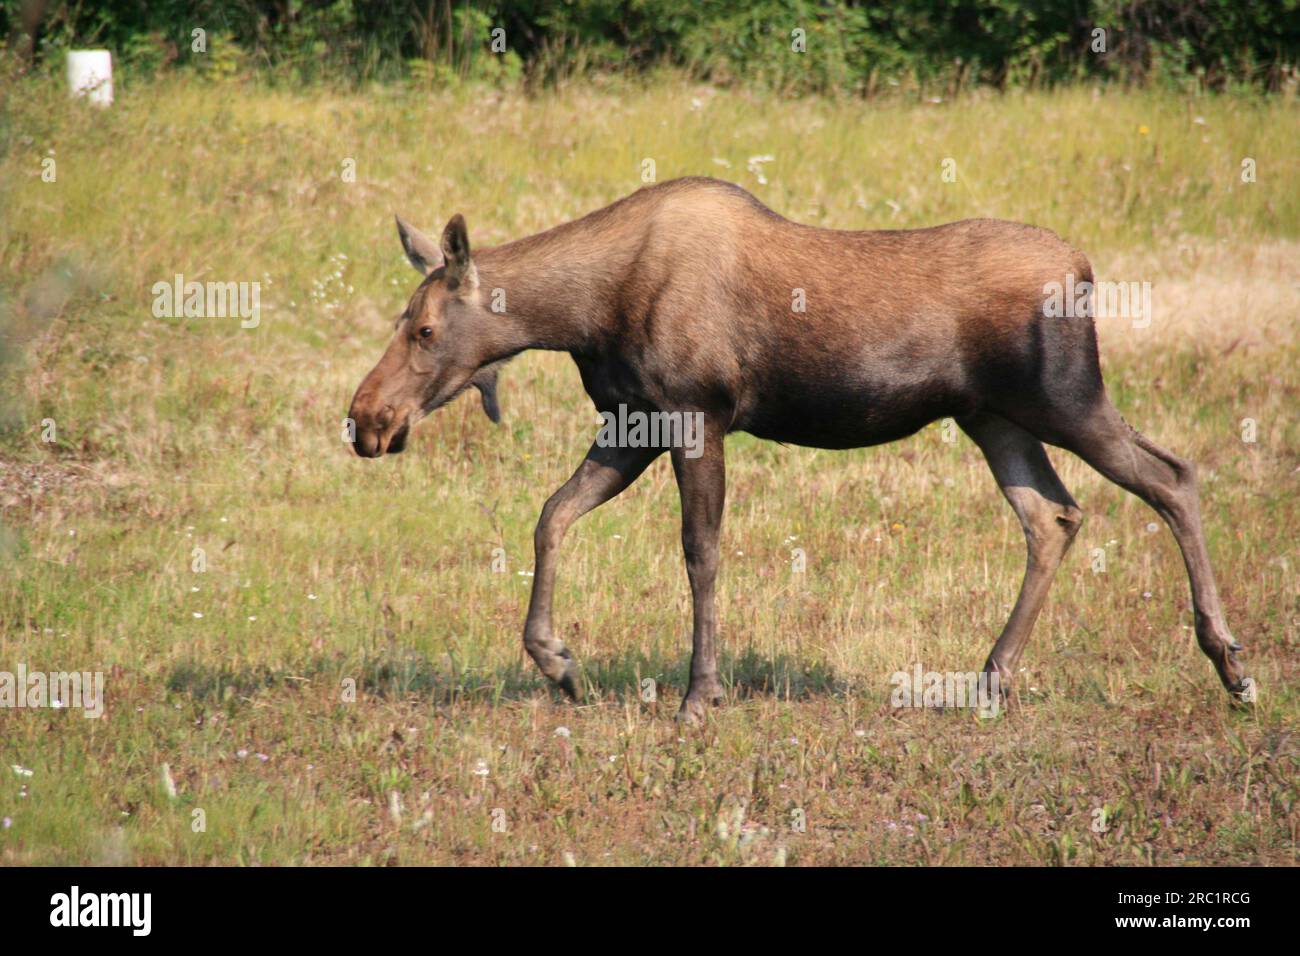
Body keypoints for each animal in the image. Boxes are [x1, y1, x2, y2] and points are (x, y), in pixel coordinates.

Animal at [347, 177, 1249, 722]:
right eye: (400, 319)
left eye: (423, 329)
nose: (365, 419)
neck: (584, 316)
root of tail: (1089, 267)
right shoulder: (633, 422)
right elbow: (551, 516)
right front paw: (562, 664)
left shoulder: (696, 415)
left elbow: (700, 552)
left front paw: (699, 697)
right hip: (993, 418)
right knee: (1052, 516)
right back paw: (990, 680)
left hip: (1064, 395)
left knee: (1172, 476)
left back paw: (1231, 663)